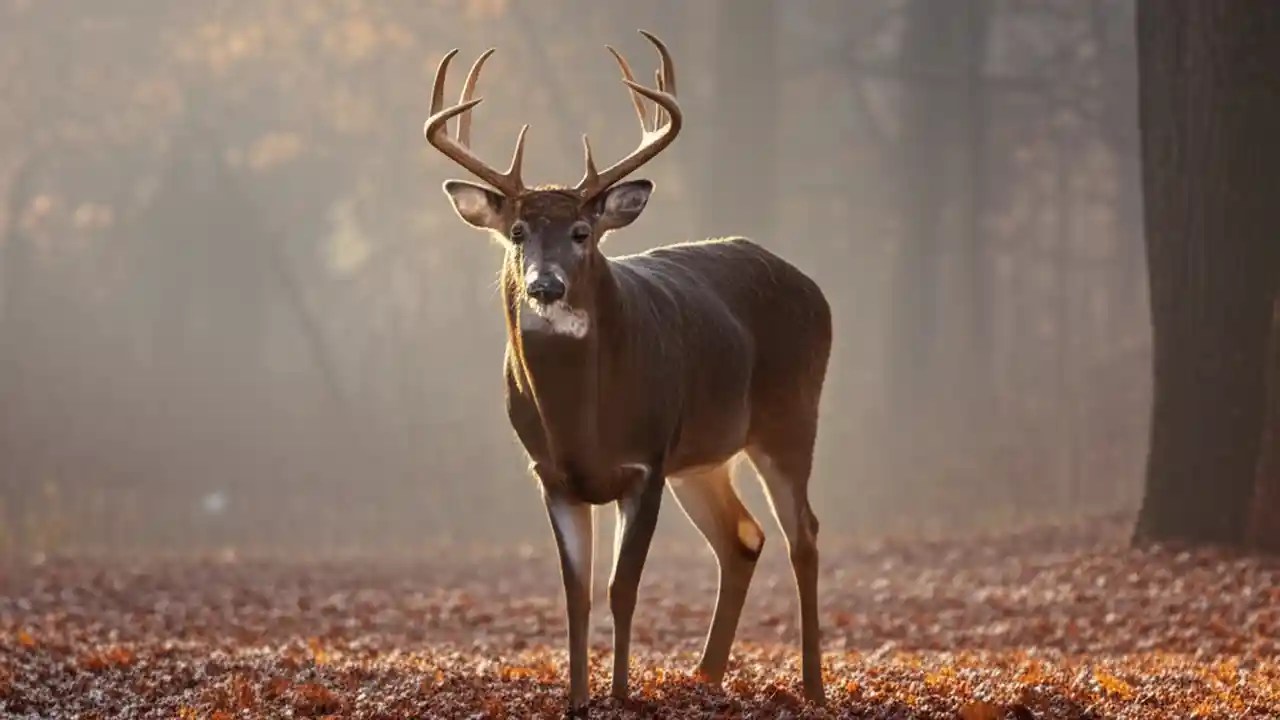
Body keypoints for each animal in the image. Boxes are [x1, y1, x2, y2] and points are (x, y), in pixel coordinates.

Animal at [422, 31, 831, 714]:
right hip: (702, 457)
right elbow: (577, 593)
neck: (582, 422)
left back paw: (813, 687)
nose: (546, 285)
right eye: (518, 231)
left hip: (790, 418)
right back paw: (704, 677)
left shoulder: (646, 461)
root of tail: (815, 289)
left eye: (582, 231)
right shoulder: (553, 473)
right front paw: (578, 699)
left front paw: (618, 694)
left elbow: (622, 587)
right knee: (742, 538)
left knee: (803, 534)